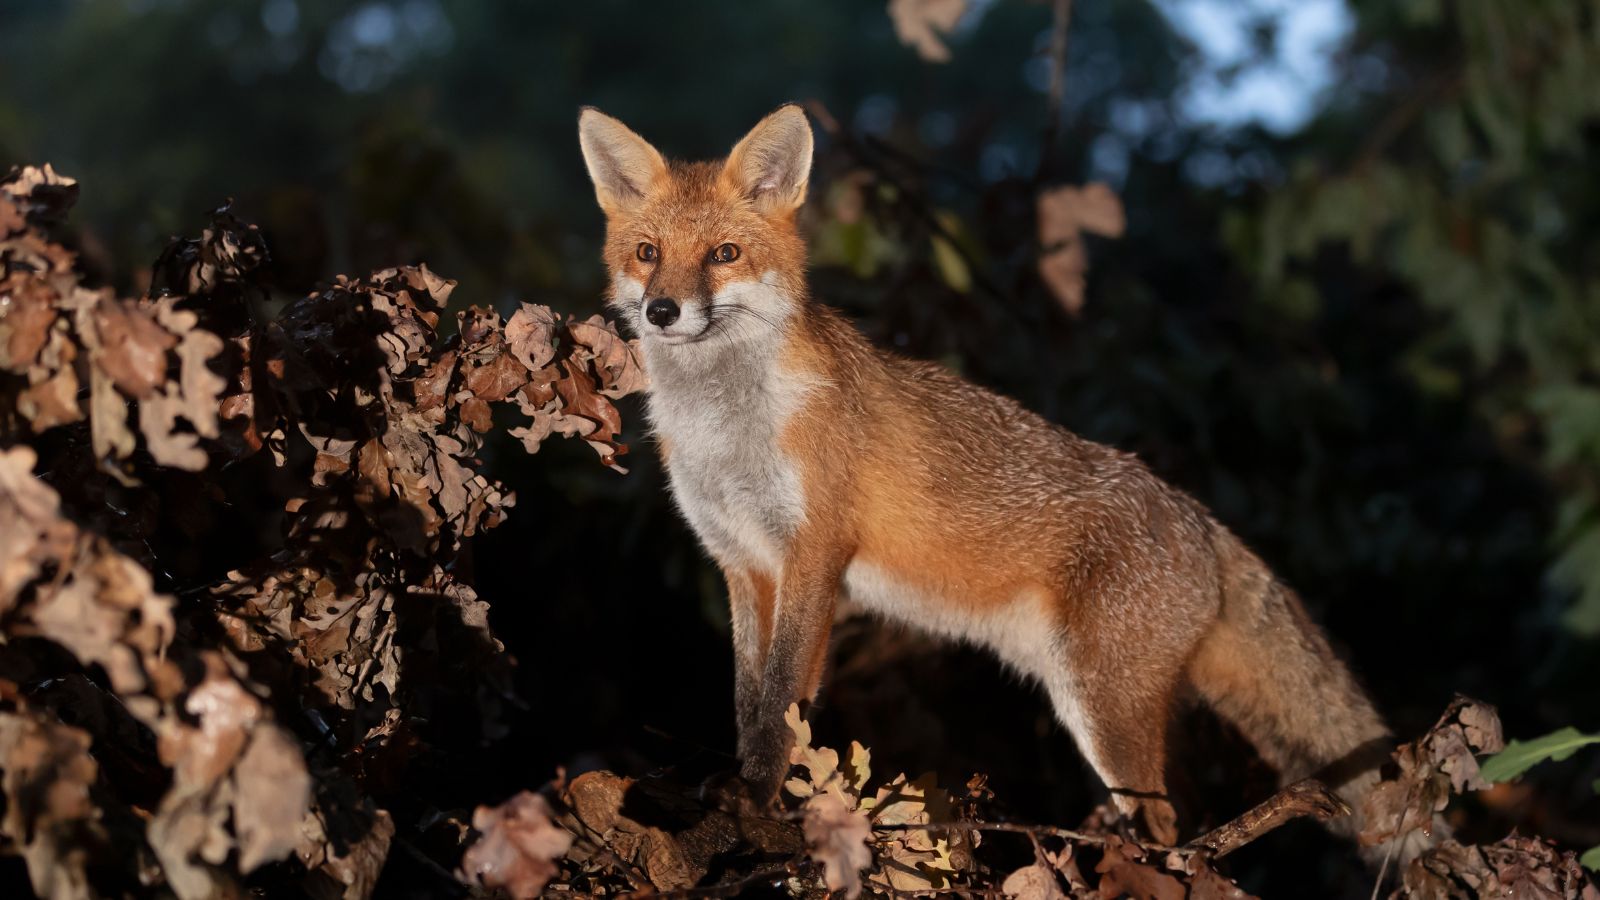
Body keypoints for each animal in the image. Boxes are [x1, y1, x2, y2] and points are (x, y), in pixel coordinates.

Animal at [577, 103, 1406, 853]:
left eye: (723, 254)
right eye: (647, 252)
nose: (663, 309)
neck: (727, 434)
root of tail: (1201, 521)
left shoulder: (813, 555)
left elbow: (782, 701)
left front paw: (754, 804)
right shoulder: (745, 563)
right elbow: (750, 700)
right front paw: (744, 793)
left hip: (1103, 707)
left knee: (1172, 831)